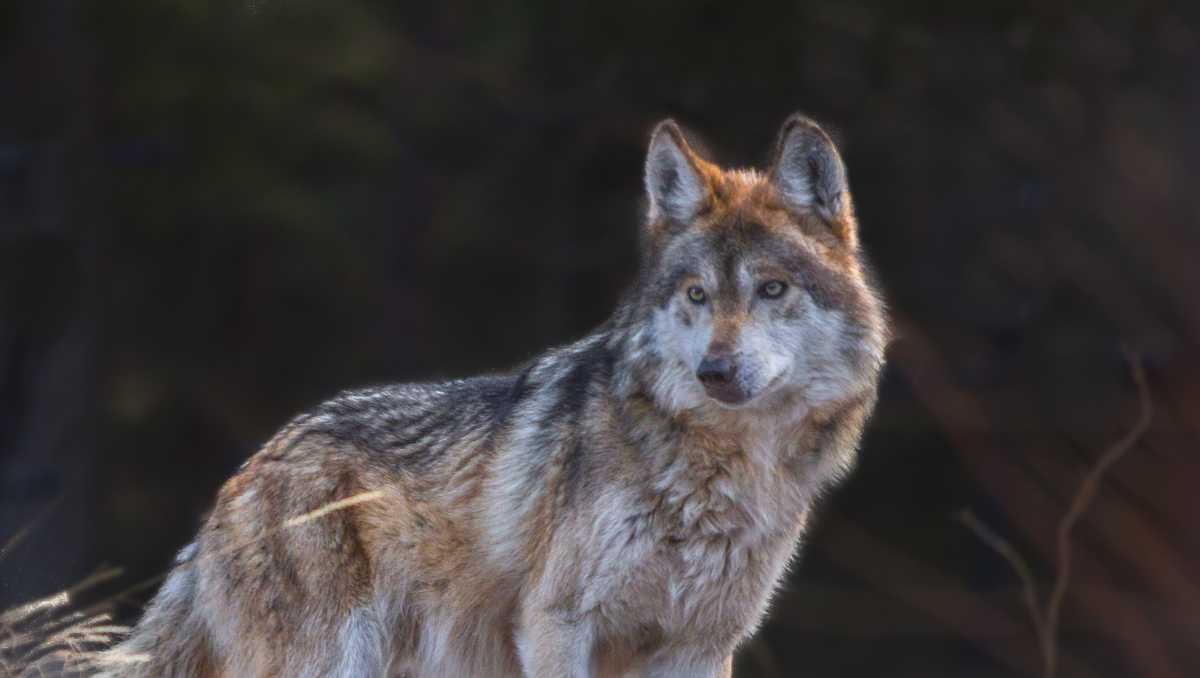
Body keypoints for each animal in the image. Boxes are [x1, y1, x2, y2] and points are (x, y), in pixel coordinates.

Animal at [99, 114, 887, 677]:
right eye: (697, 295)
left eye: (772, 289)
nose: (714, 372)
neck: (721, 473)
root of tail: (241, 479)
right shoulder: (557, 625)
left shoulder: (697, 648)